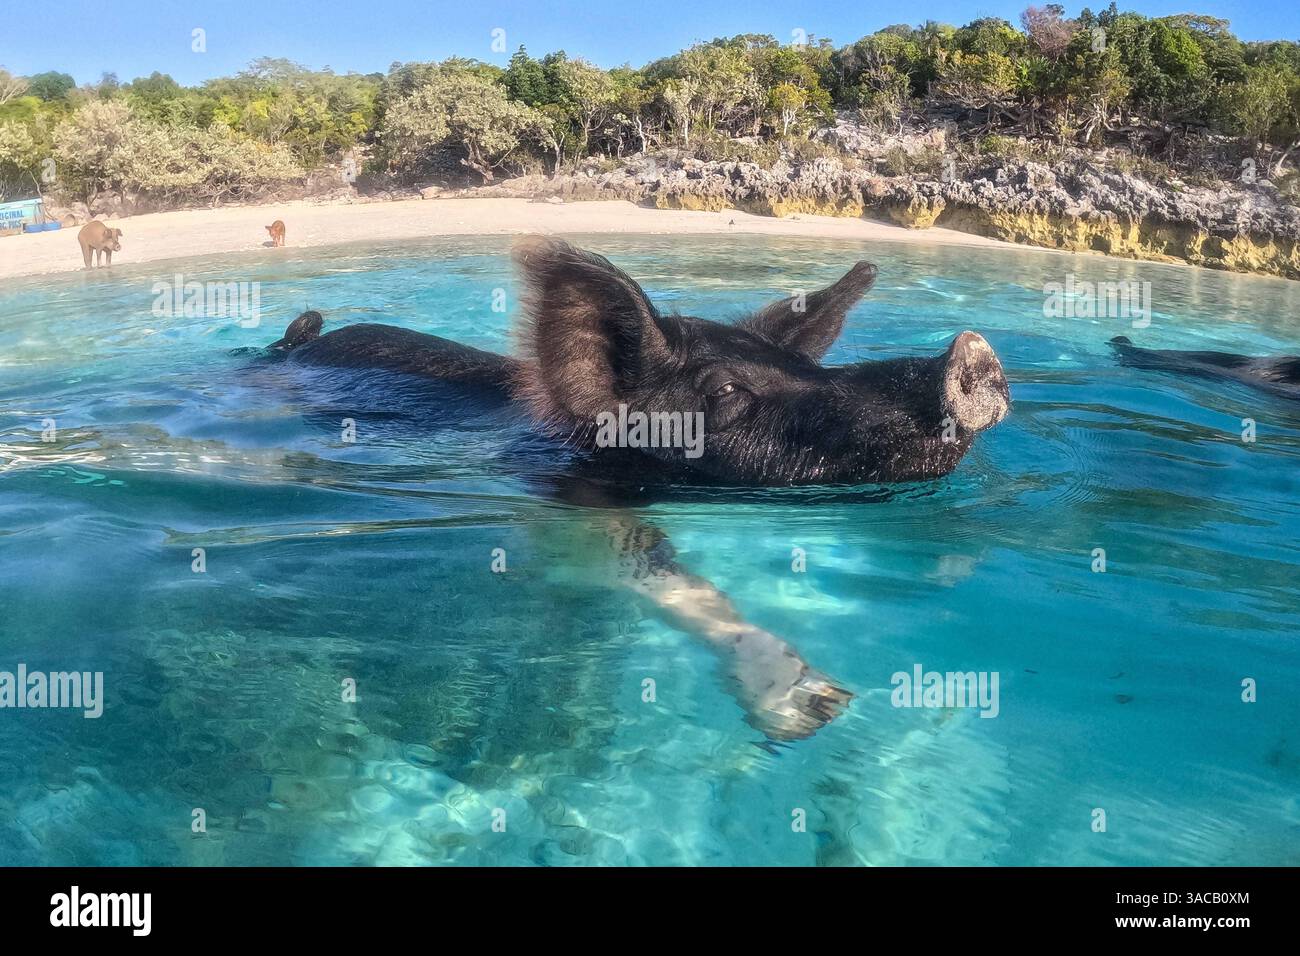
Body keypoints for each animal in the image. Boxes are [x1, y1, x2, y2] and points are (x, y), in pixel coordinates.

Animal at [260, 237, 1012, 741]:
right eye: (726, 391)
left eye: (802, 364)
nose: (971, 351)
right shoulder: (576, 502)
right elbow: (665, 573)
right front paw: (814, 706)